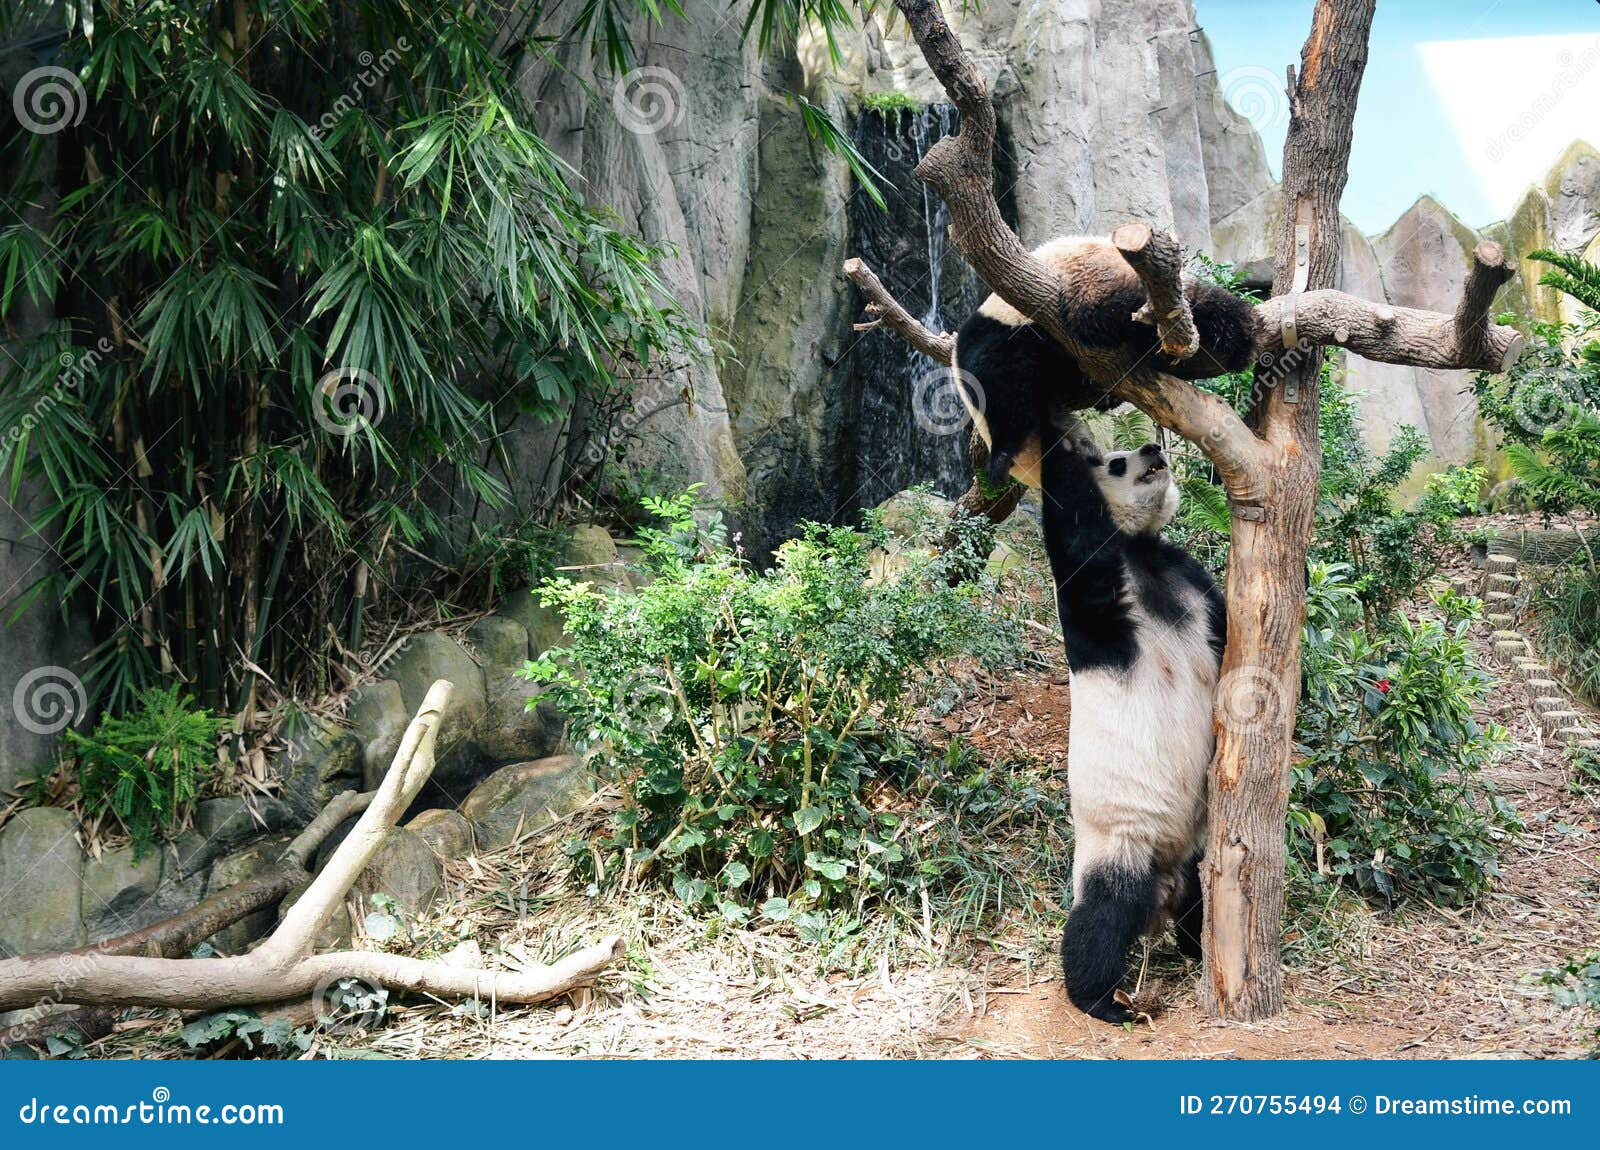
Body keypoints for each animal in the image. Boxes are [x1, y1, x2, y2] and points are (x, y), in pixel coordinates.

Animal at [950, 236, 1256, 489]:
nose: (1101, 462)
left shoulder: (1001, 344)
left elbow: (1005, 386)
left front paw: (998, 462)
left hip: (1085, 278)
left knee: (1113, 311)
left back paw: (1235, 337)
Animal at [1038, 422, 1226, 1024]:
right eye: (1117, 463)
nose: (1151, 449)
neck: (1137, 550)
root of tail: (1160, 892)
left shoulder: (1183, 574)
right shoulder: (1101, 591)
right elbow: (1074, 533)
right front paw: (1055, 442)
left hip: (1193, 847)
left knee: (1201, 897)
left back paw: (1197, 949)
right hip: (1119, 843)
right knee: (1100, 920)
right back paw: (1100, 1000)